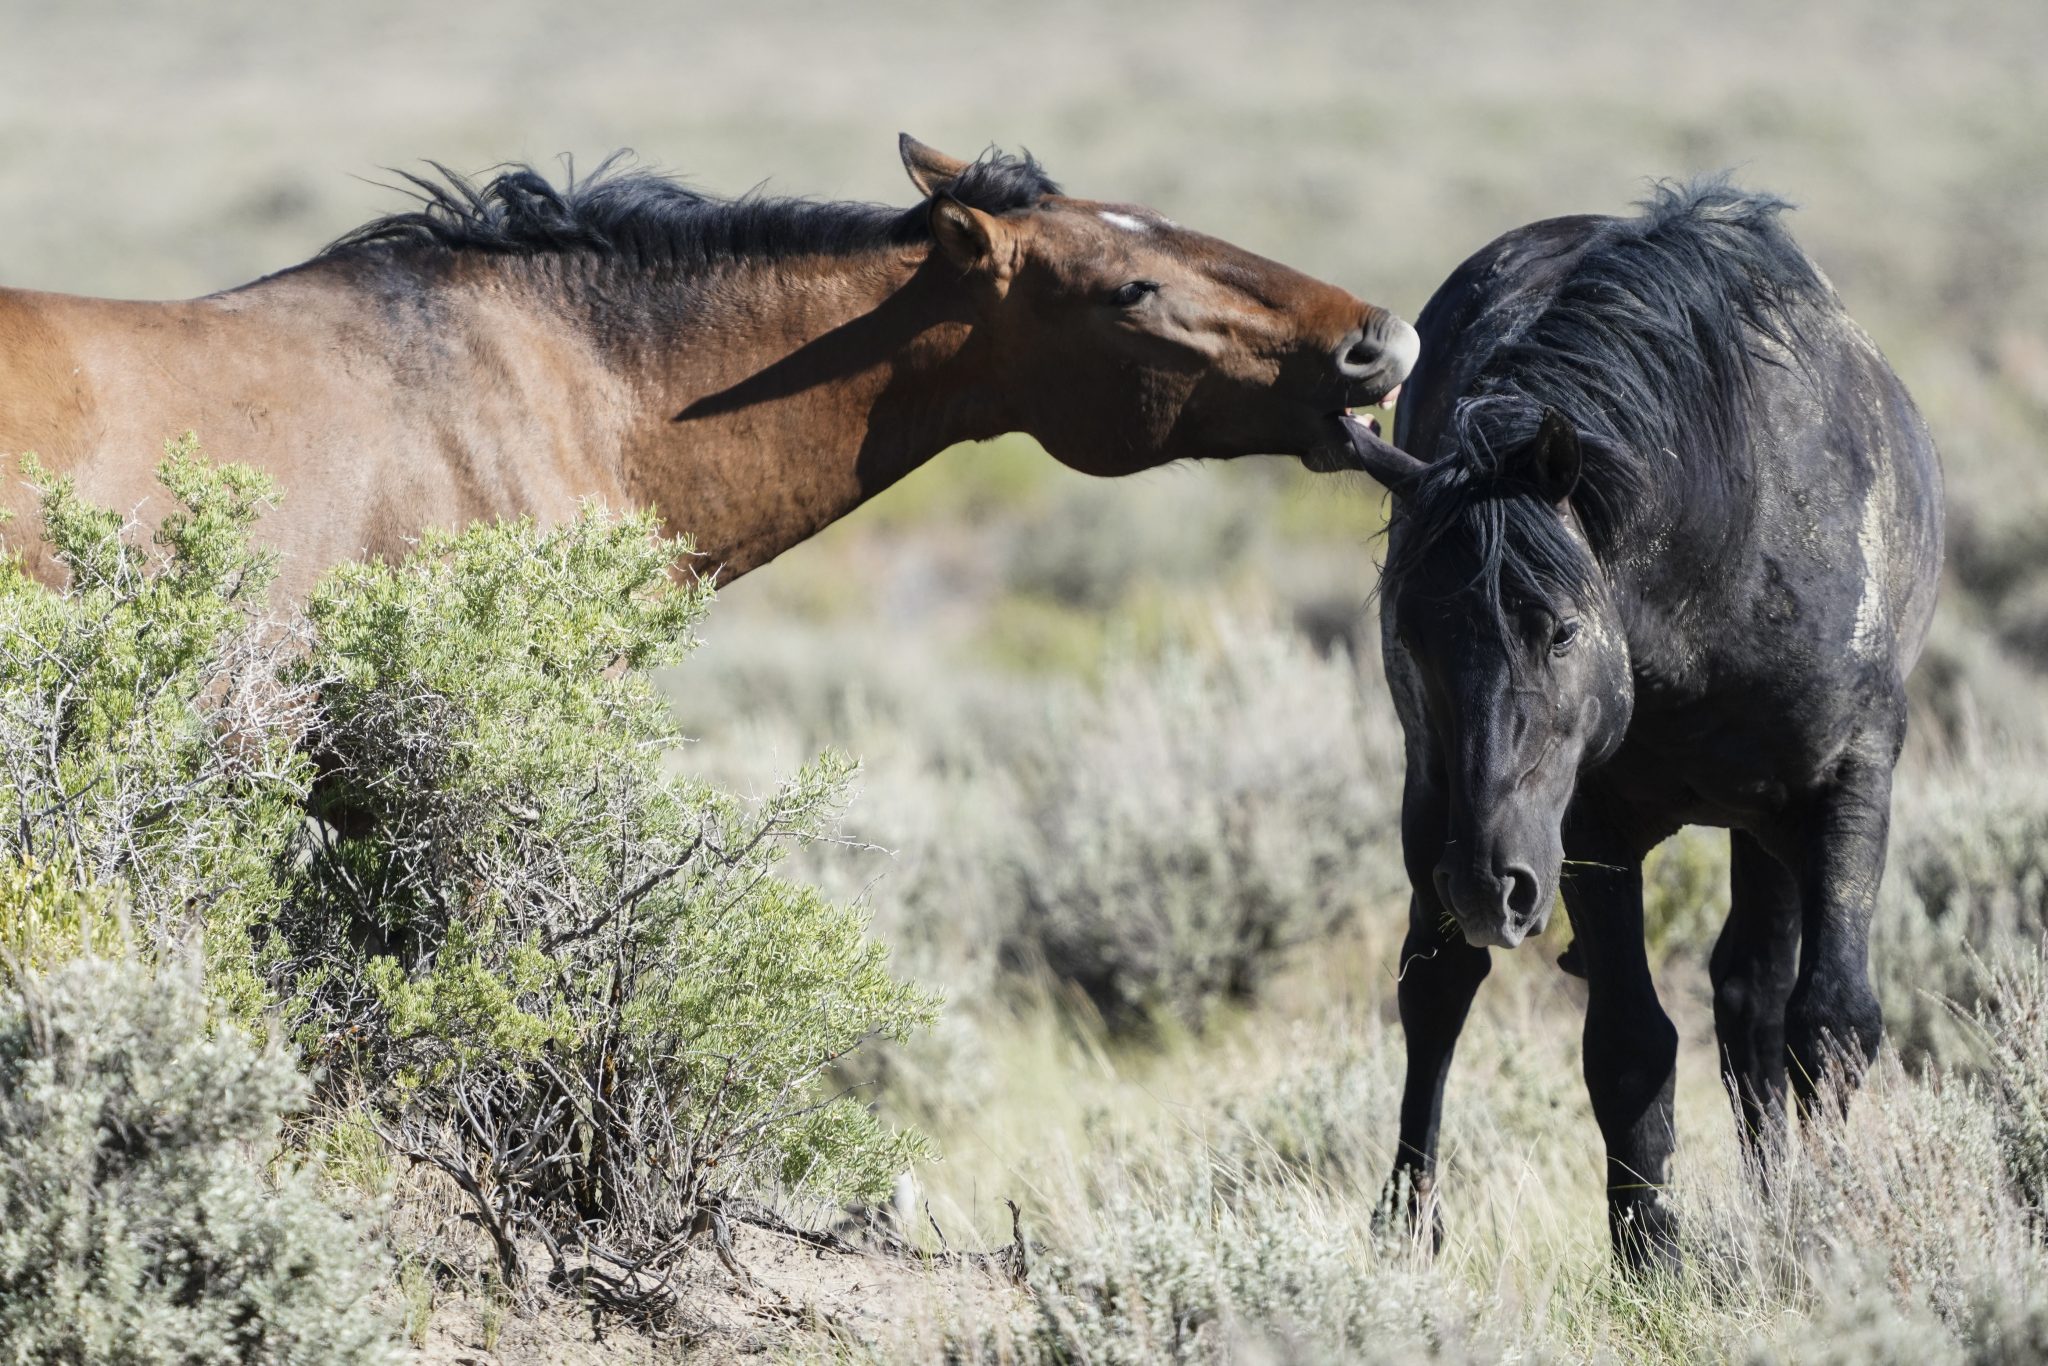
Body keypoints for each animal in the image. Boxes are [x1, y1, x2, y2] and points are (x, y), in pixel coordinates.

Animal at [1341, 179, 1944, 1269]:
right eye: (1407, 634)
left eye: (1562, 629)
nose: (1490, 883)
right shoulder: (1589, 828)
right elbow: (1627, 1044)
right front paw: (1650, 1252)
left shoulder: (1846, 780)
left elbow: (1829, 1020)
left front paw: (1827, 1220)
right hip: (1436, 801)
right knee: (1436, 986)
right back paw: (1406, 1221)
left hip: (1761, 823)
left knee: (1750, 996)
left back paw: (1774, 1195)